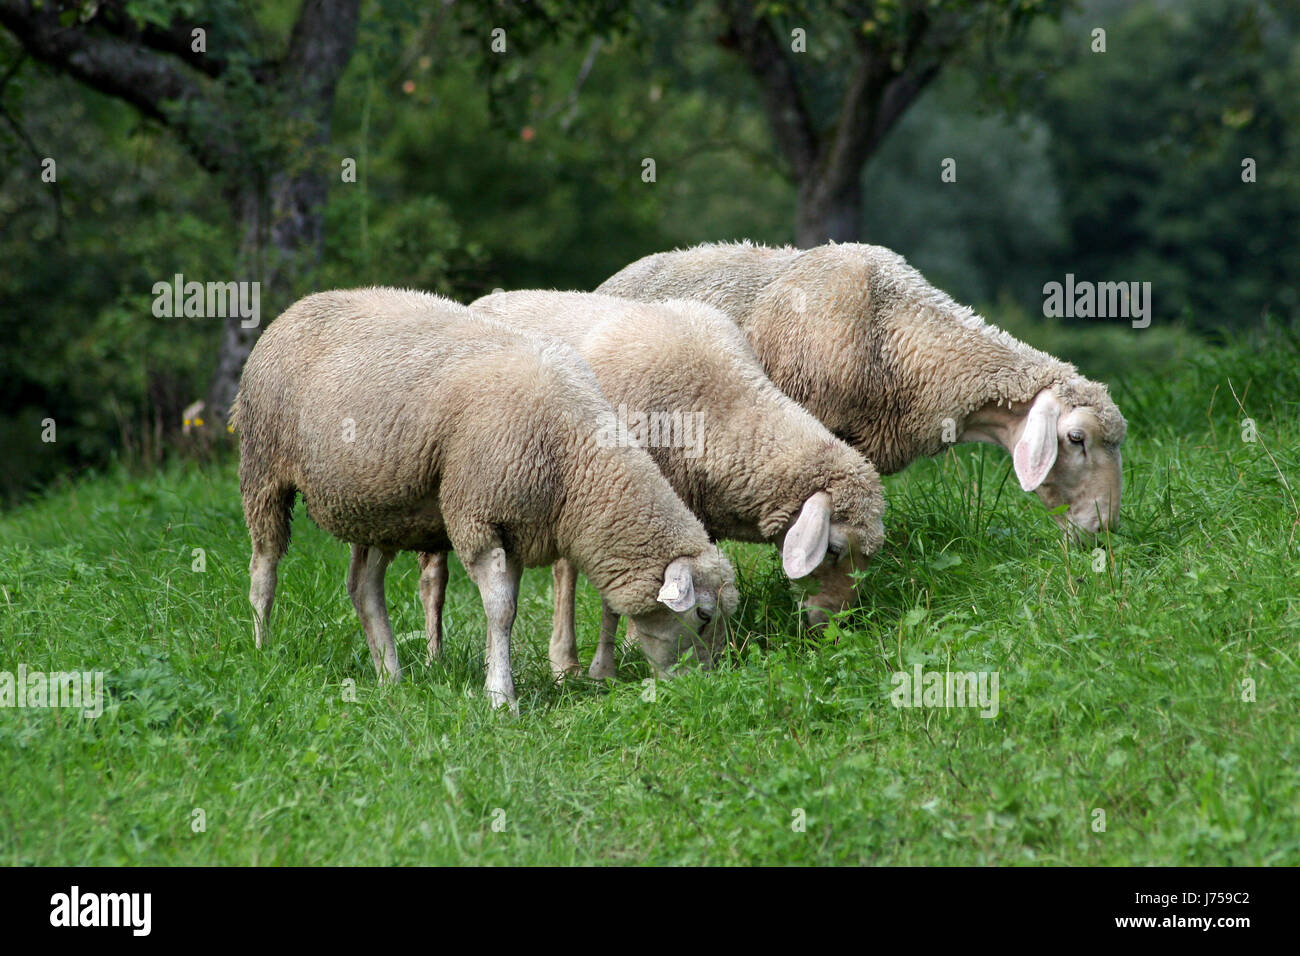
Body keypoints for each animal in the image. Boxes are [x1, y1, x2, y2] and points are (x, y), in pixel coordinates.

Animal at [230, 287, 737, 709]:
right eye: (704, 615)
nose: (705, 688)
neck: (575, 460)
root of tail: (296, 307)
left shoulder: (514, 528)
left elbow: (505, 611)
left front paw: (497, 682)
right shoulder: (476, 515)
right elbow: (501, 610)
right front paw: (501, 697)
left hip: (377, 505)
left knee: (363, 588)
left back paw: (390, 675)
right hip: (263, 466)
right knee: (264, 565)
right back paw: (262, 647)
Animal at [415, 290, 885, 680]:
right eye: (834, 549)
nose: (839, 625)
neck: (716, 404)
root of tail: (487, 300)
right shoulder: (615, 498)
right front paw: (596, 664)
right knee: (436, 578)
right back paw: (441, 658)